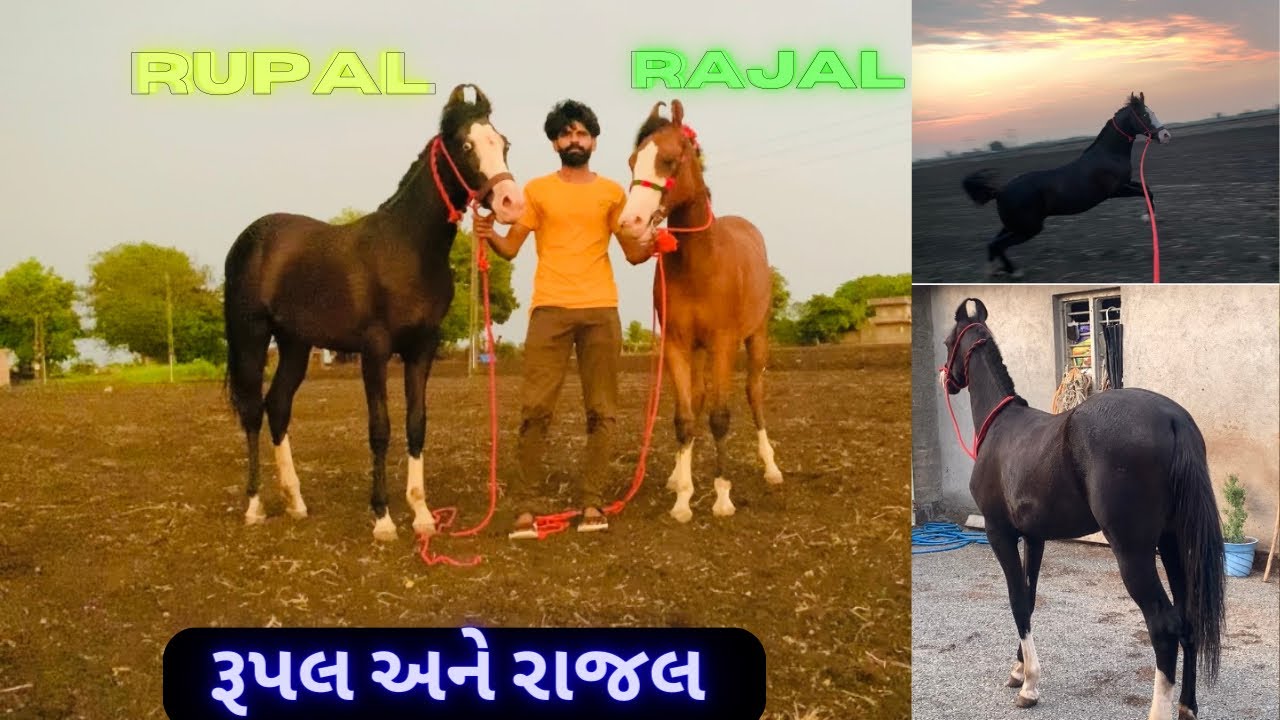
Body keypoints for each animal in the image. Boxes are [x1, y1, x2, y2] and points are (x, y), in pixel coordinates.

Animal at [222, 84, 524, 542]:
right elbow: (380, 428)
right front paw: (382, 518)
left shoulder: (422, 347)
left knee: (278, 406)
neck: (407, 247)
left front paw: (422, 515)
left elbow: (416, 424)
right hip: (252, 337)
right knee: (254, 411)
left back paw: (295, 502)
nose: (510, 202)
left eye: (503, 143)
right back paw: (255, 506)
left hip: (295, 344)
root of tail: (249, 238)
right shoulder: (376, 349)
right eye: (466, 145)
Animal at [616, 99, 782, 524]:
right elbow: (685, 417)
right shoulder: (676, 344)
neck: (699, 264)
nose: (630, 224)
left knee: (754, 394)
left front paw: (722, 497)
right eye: (632, 161)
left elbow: (720, 417)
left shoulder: (724, 343)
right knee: (698, 399)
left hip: (756, 339)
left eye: (670, 160)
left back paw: (771, 466)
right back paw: (679, 476)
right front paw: (682, 498)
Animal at [939, 297, 1224, 720]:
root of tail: (1173, 419)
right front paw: (1018, 670)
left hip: (1134, 552)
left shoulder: (998, 533)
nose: (947, 380)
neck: (1000, 427)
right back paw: (1187, 706)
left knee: (1164, 625)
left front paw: (1030, 685)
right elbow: (1029, 598)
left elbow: (1017, 601)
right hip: (1173, 543)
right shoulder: (1034, 538)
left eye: (946, 342)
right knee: (1188, 620)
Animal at [961, 92, 1171, 279]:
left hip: (1014, 225)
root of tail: (1000, 191)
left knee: (992, 244)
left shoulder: (1126, 183)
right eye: (1145, 115)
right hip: (1029, 228)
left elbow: (1148, 190)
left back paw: (995, 271)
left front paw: (1149, 217)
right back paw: (1014, 272)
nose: (1165, 135)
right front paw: (1147, 217)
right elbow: (1145, 192)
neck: (1108, 155)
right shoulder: (1116, 190)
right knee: (998, 245)